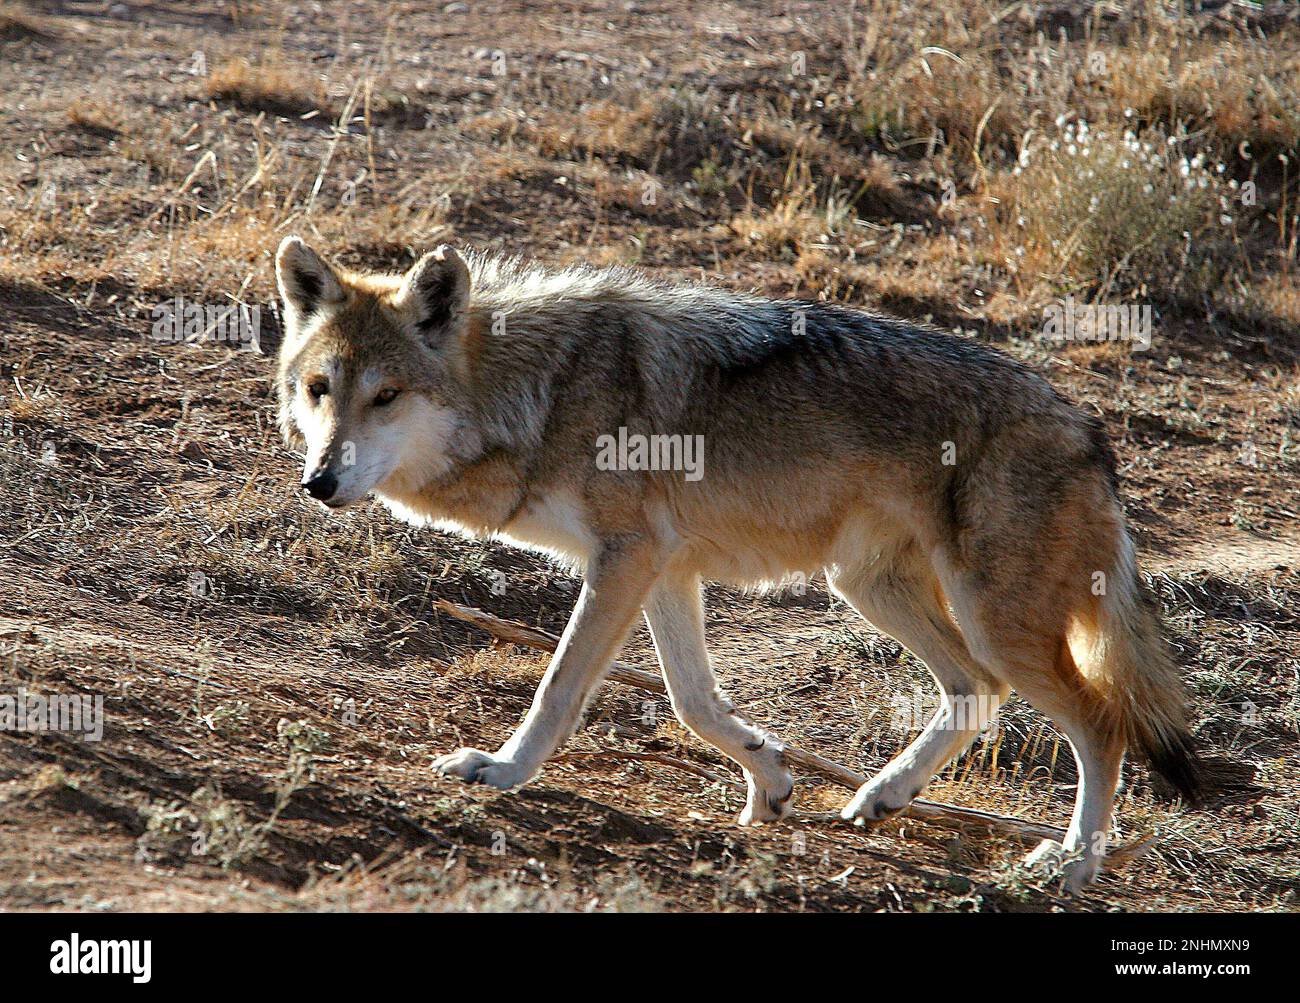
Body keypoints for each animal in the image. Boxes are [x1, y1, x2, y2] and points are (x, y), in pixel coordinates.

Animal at [272, 236, 1199, 890]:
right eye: (319, 390)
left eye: (386, 395)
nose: (320, 481)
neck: (540, 393)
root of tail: (1090, 429)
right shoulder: (662, 568)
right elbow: (694, 703)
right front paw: (770, 779)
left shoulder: (627, 559)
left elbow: (558, 688)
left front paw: (501, 770)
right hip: (870, 589)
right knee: (978, 691)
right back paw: (882, 796)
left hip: (983, 613)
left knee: (1102, 723)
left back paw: (1071, 863)